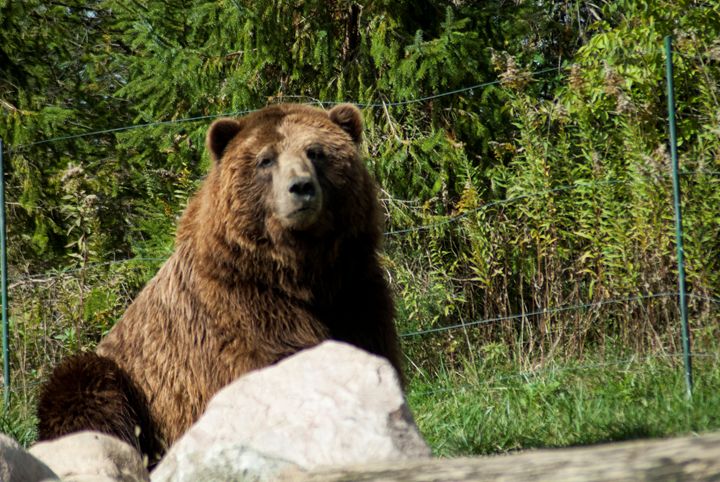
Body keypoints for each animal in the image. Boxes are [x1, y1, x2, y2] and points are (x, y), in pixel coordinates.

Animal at [37, 103, 403, 463]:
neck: (300, 274)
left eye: (315, 152)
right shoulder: (241, 307)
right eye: (266, 159)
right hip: (120, 382)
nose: (300, 187)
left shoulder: (353, 291)